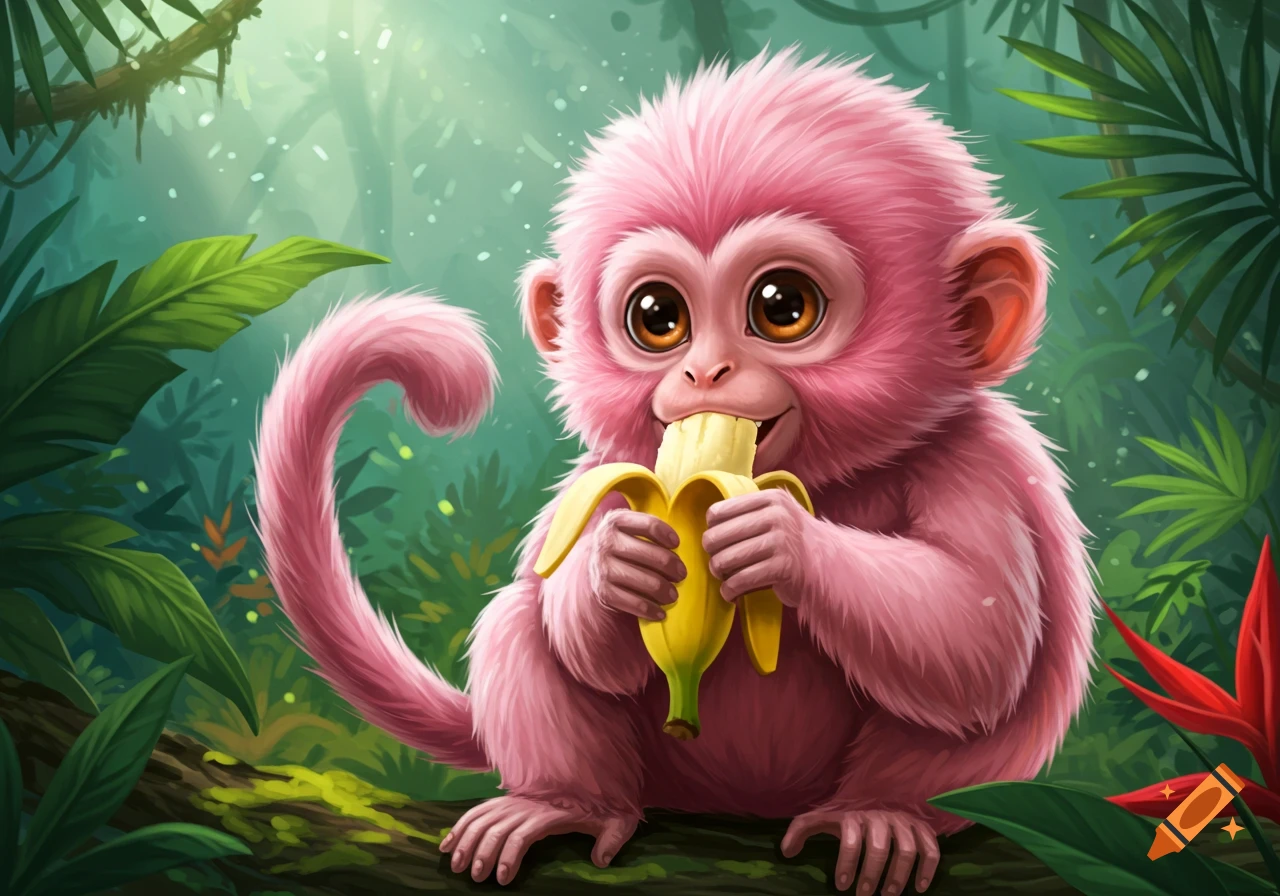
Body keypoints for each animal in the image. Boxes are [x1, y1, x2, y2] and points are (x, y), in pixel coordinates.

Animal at [254, 49, 1097, 895]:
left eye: (782, 306)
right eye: (658, 318)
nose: (704, 373)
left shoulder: (981, 458)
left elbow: (980, 650)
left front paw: (780, 541)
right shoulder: (607, 470)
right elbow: (577, 638)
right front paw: (618, 566)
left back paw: (883, 813)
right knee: (522, 623)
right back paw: (567, 801)